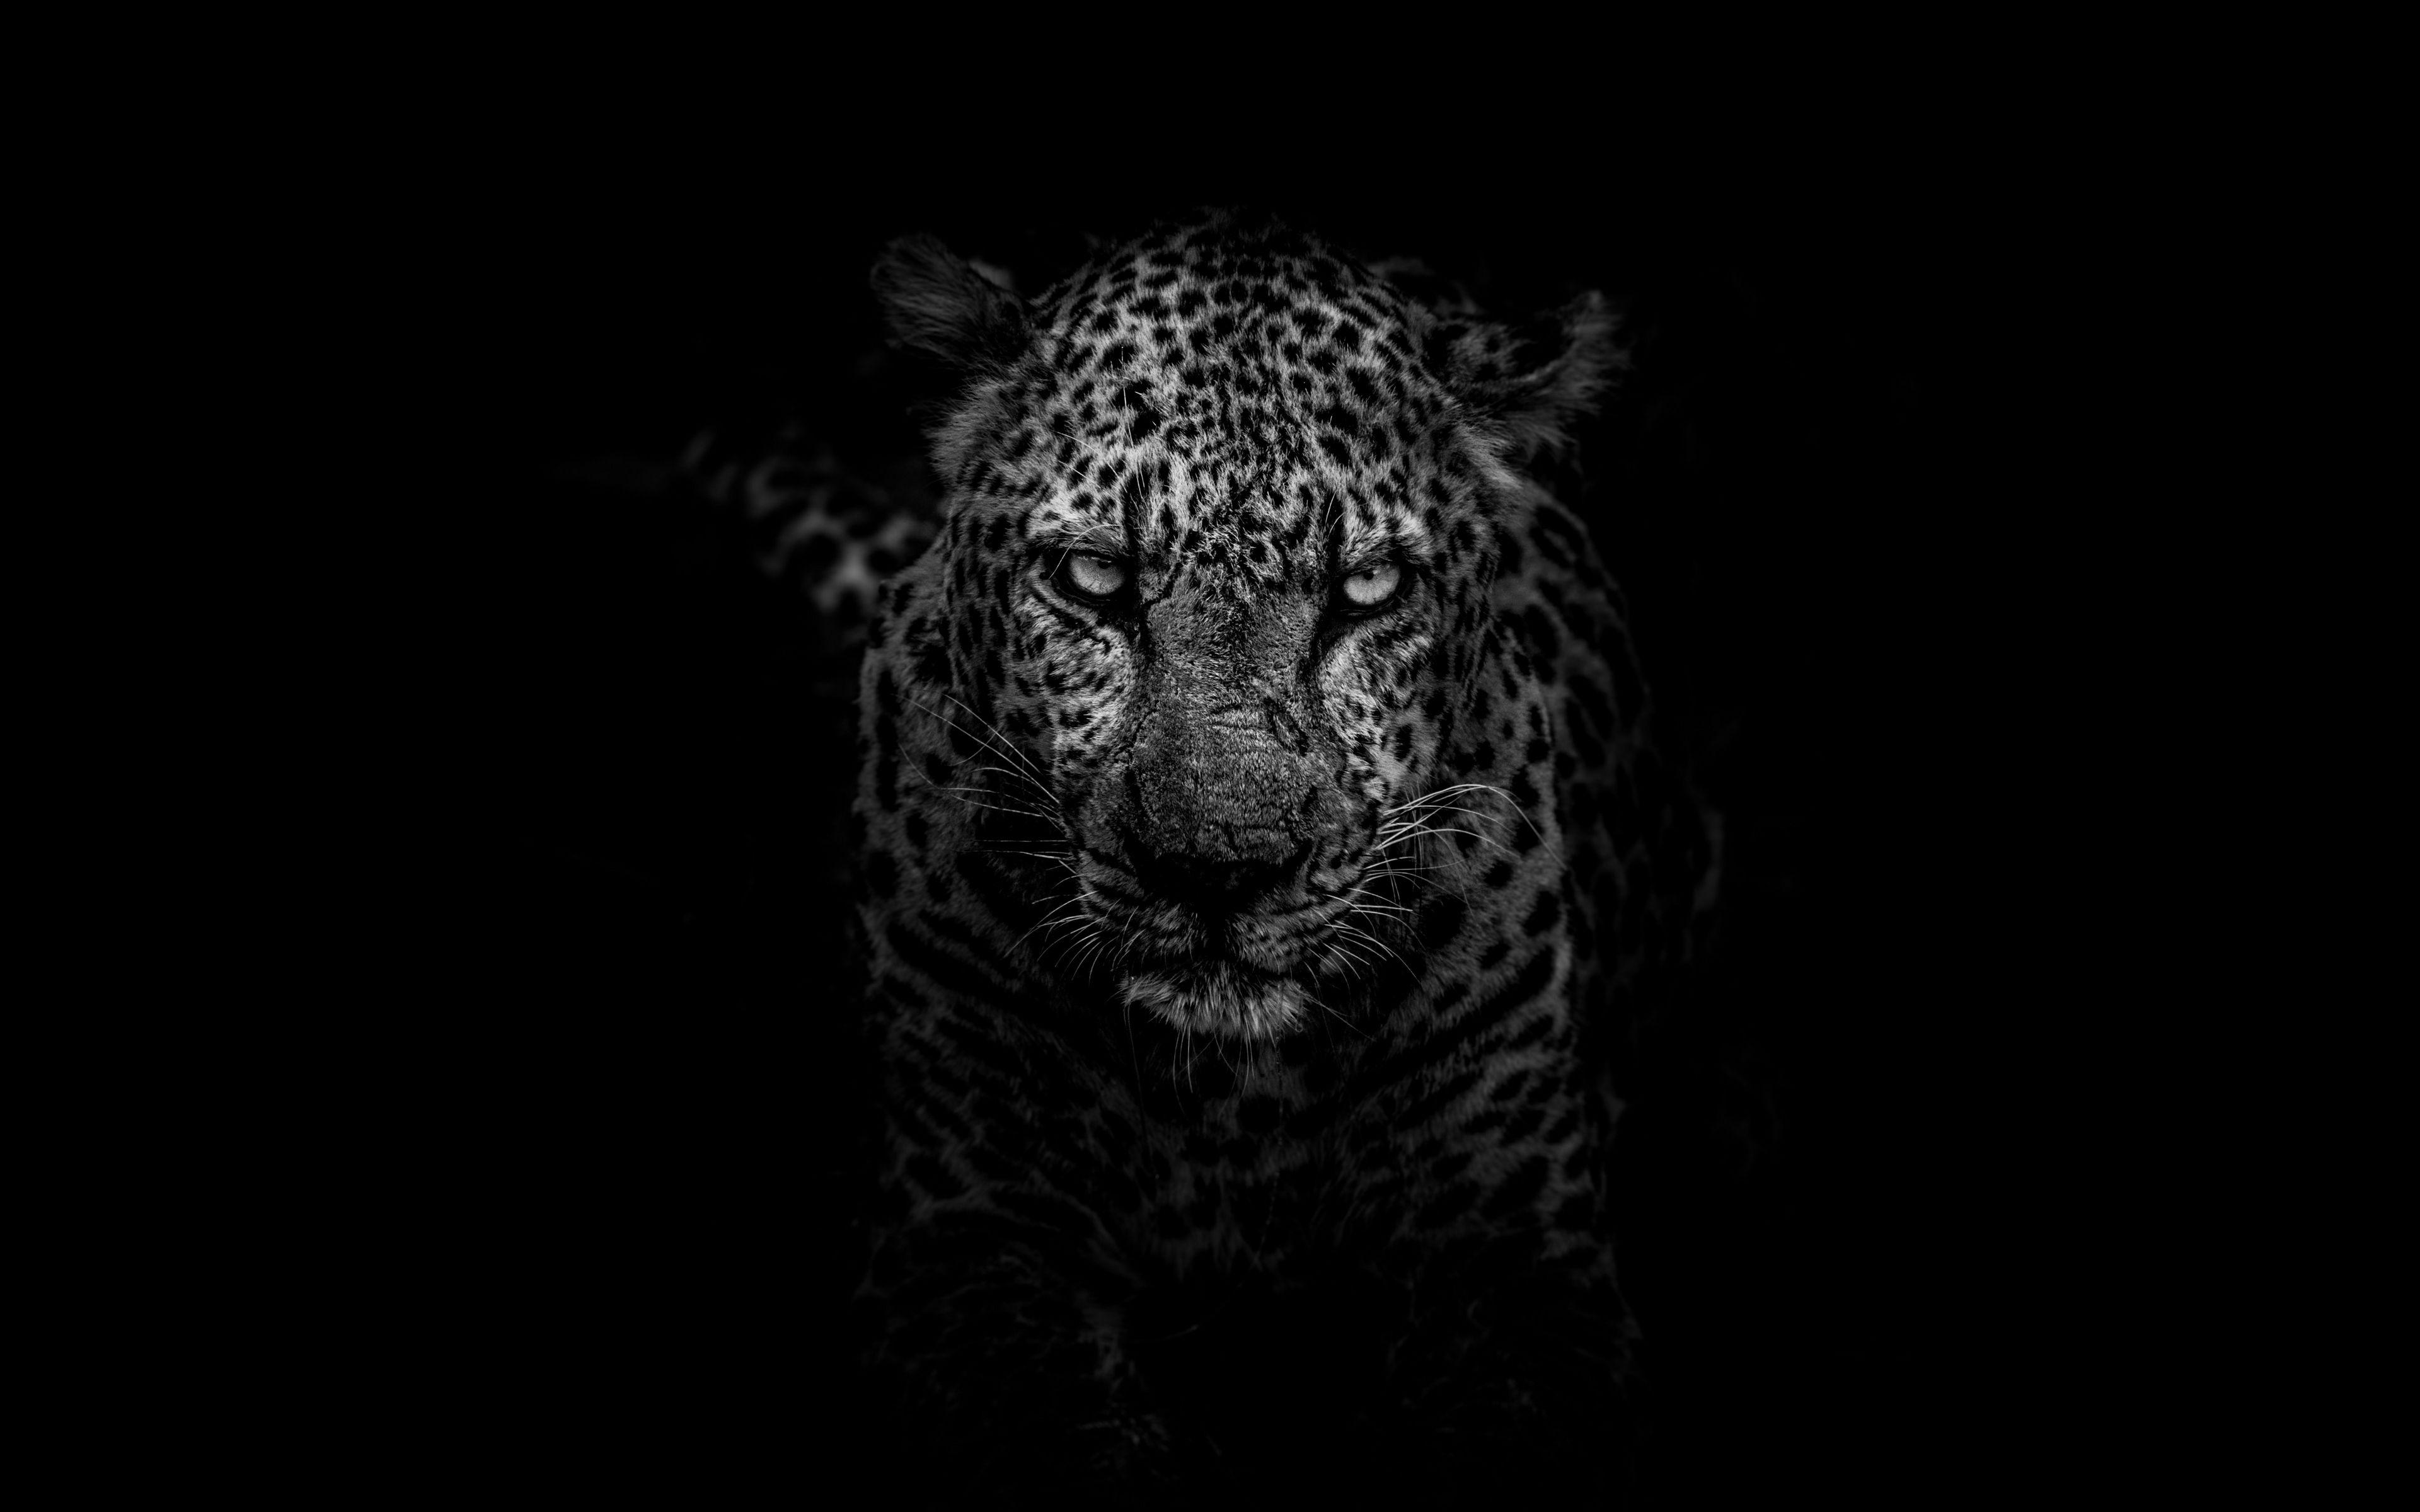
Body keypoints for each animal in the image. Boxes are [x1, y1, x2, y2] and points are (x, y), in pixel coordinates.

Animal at [841, 210, 1719, 1503]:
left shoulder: (1519, 1266)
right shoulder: (965, 1240)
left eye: (1368, 588)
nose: (1219, 869)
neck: (1227, 1098)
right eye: (1095, 578)